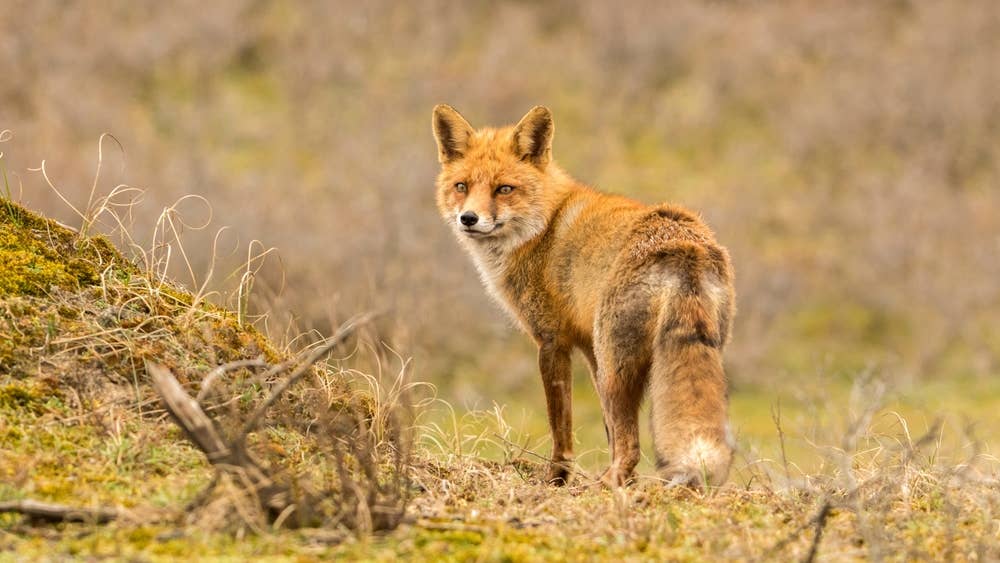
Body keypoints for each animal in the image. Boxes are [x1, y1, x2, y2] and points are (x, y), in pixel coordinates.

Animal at [432, 105, 736, 488]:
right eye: (462, 186)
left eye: (504, 189)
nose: (468, 218)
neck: (542, 227)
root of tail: (685, 245)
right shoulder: (588, 349)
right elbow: (607, 431)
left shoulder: (552, 341)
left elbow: (561, 425)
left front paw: (557, 477)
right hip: (664, 357)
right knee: (627, 438)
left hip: (615, 368)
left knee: (632, 445)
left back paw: (610, 483)